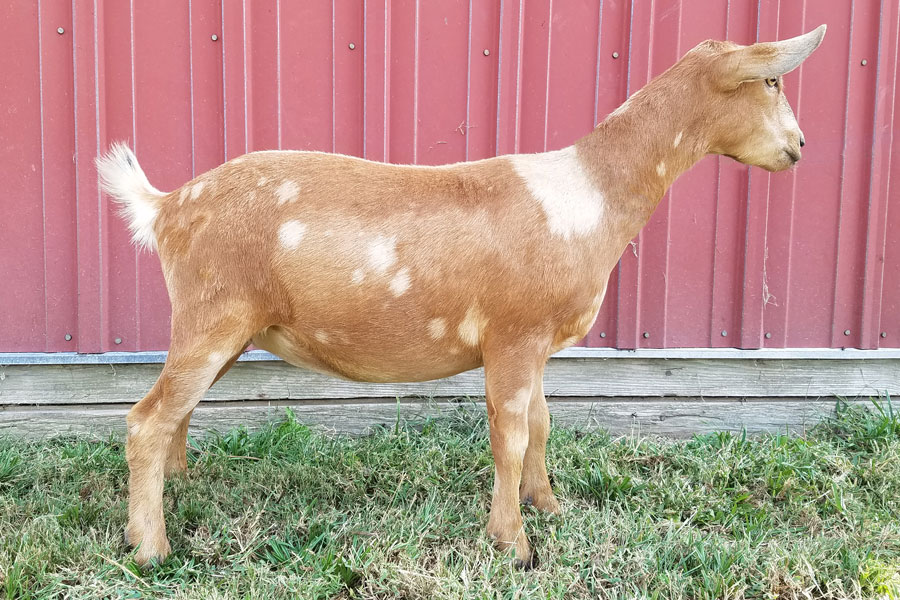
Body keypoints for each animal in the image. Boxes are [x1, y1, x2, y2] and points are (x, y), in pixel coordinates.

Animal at [97, 25, 826, 568]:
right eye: (770, 80)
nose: (799, 145)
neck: (591, 195)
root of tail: (166, 206)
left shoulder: (537, 344)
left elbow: (542, 423)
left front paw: (548, 506)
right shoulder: (514, 333)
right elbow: (509, 432)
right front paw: (516, 546)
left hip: (224, 326)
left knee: (176, 413)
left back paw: (179, 490)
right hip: (211, 314)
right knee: (146, 419)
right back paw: (151, 548)